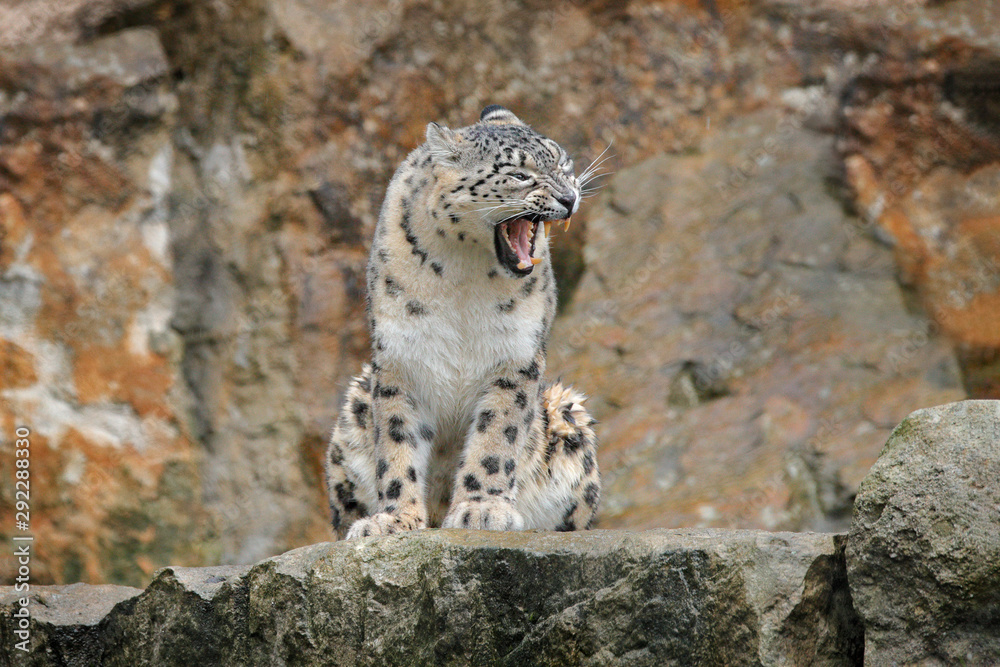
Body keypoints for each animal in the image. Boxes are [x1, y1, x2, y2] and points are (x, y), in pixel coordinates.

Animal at [325, 104, 600, 539]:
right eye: (518, 174)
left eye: (563, 163)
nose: (570, 197)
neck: (464, 275)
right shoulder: (401, 357)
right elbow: (397, 439)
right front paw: (395, 519)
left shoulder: (515, 354)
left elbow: (497, 435)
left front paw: (482, 509)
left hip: (569, 417)